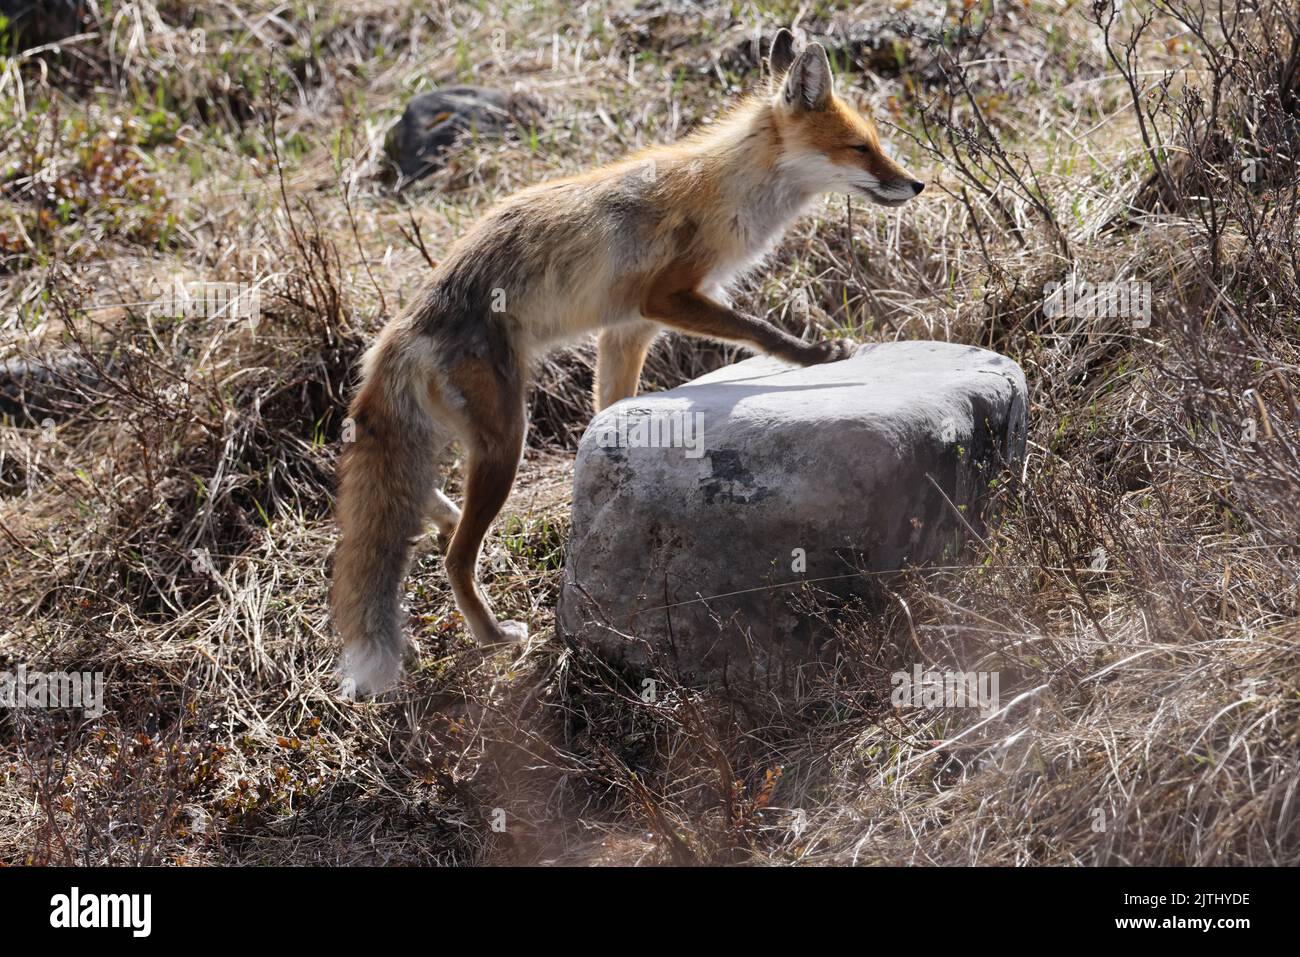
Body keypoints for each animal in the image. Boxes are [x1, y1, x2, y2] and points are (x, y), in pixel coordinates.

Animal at [332, 29, 925, 697]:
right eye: (860, 147)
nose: (917, 185)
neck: (729, 186)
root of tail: (397, 334)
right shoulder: (664, 298)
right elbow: (758, 329)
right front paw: (812, 355)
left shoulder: (627, 328)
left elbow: (611, 412)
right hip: (508, 439)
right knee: (456, 554)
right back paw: (492, 634)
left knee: (417, 501)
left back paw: (440, 518)